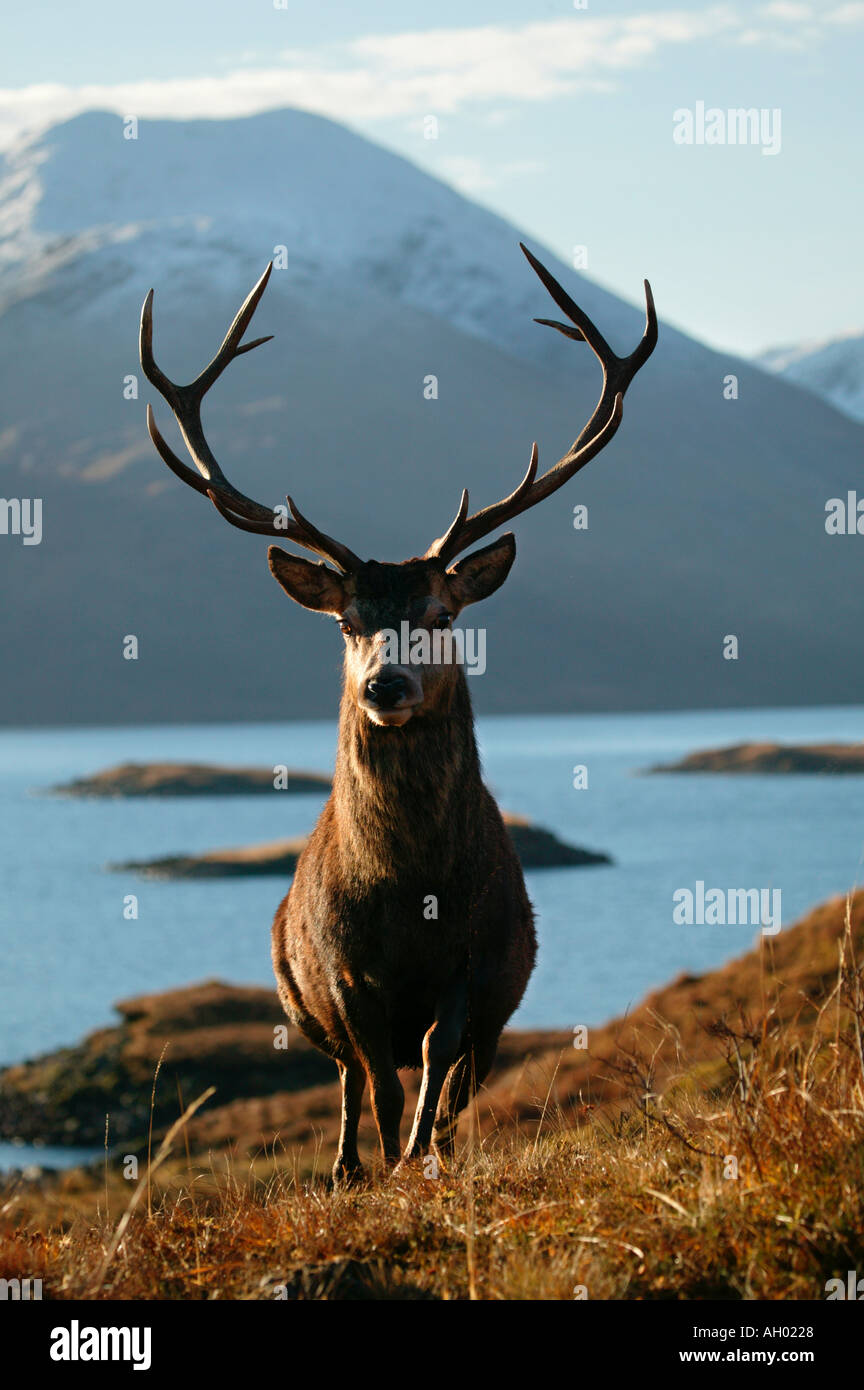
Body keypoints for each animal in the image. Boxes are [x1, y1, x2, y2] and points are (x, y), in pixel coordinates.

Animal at [139, 244, 657, 1182]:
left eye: (442, 614)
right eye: (347, 622)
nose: (388, 688)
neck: (416, 895)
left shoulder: (477, 967)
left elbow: (435, 1065)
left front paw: (421, 1162)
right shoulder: (345, 976)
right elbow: (377, 1078)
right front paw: (385, 1164)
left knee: (453, 1083)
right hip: (300, 997)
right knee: (348, 1080)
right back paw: (350, 1168)